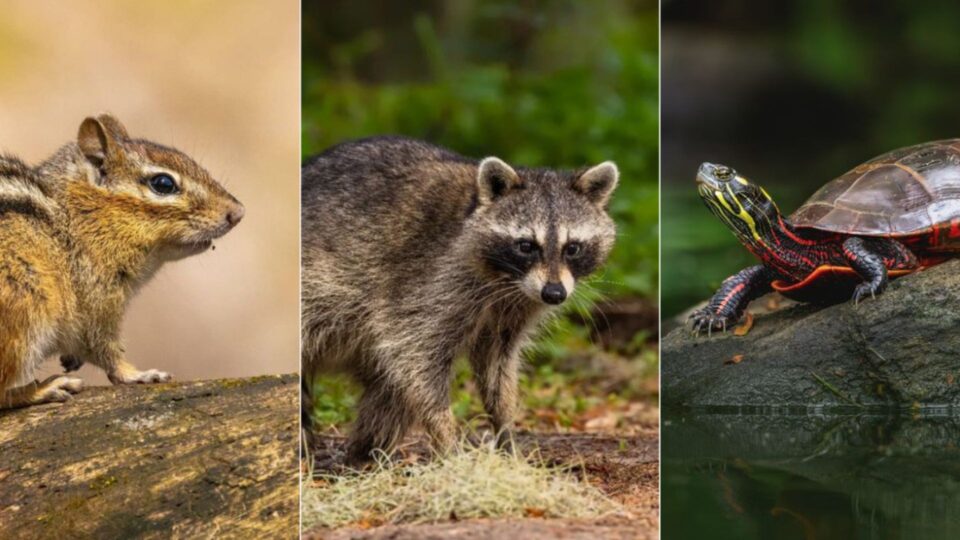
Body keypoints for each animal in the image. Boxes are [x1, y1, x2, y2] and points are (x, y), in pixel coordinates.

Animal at [301, 136, 618, 462]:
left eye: (573, 248)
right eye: (526, 245)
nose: (554, 294)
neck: (506, 281)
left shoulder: (514, 309)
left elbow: (497, 367)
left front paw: (505, 429)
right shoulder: (430, 283)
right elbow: (416, 357)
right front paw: (447, 437)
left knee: (388, 394)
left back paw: (365, 453)